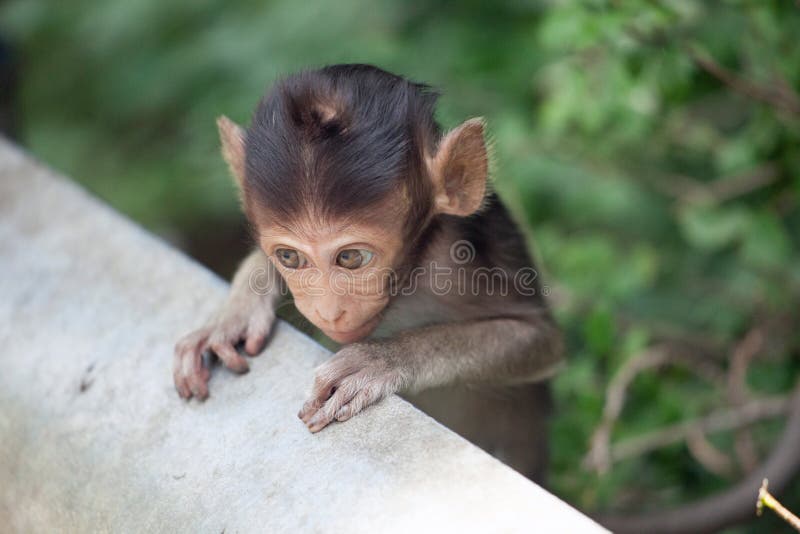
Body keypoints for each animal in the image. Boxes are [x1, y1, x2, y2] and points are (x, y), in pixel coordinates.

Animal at [173, 64, 563, 481]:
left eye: (351, 258)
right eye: (290, 258)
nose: (329, 312)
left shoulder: (463, 259)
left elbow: (539, 339)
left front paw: (380, 360)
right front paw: (232, 317)